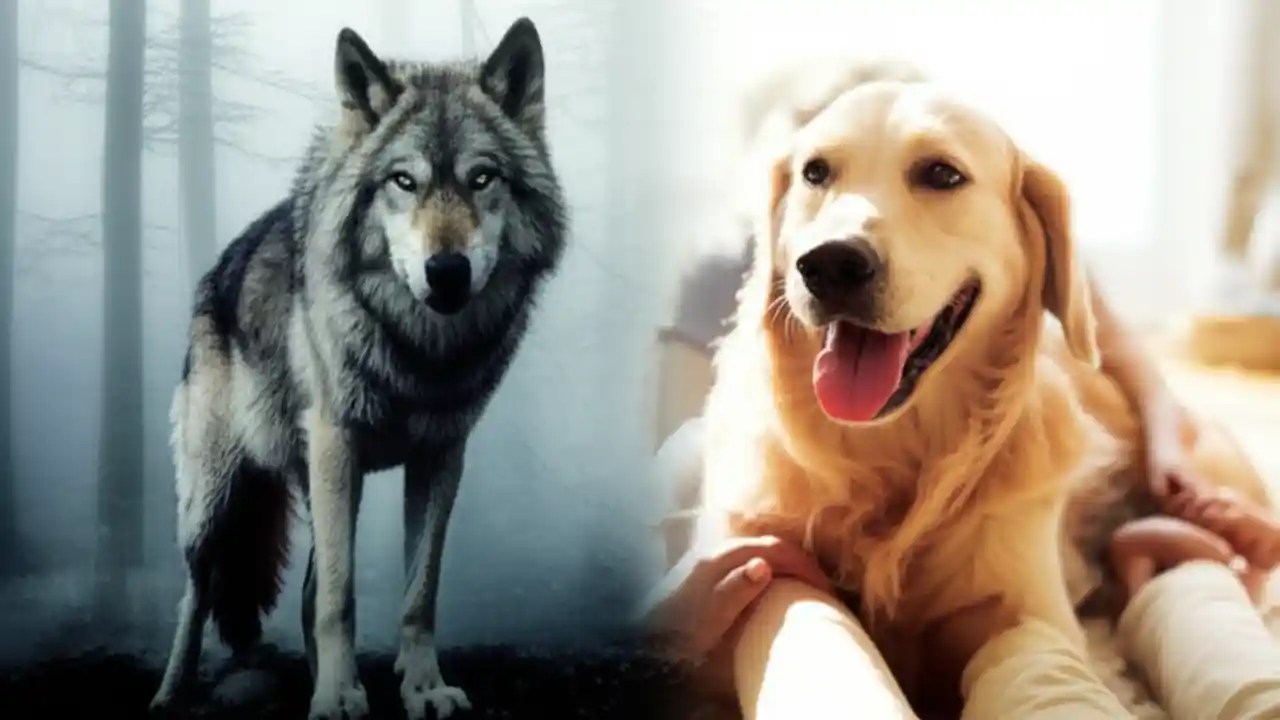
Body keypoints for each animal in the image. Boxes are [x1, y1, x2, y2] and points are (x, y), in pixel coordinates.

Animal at [149, 17, 566, 720]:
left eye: (483, 179)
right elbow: (341, 597)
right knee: (195, 596)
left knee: (306, 590)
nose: (446, 271)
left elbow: (418, 593)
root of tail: (216, 272)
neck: (417, 355)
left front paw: (421, 688)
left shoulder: (441, 456)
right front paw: (339, 697)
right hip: (216, 503)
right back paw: (170, 693)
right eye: (404, 181)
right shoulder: (336, 444)